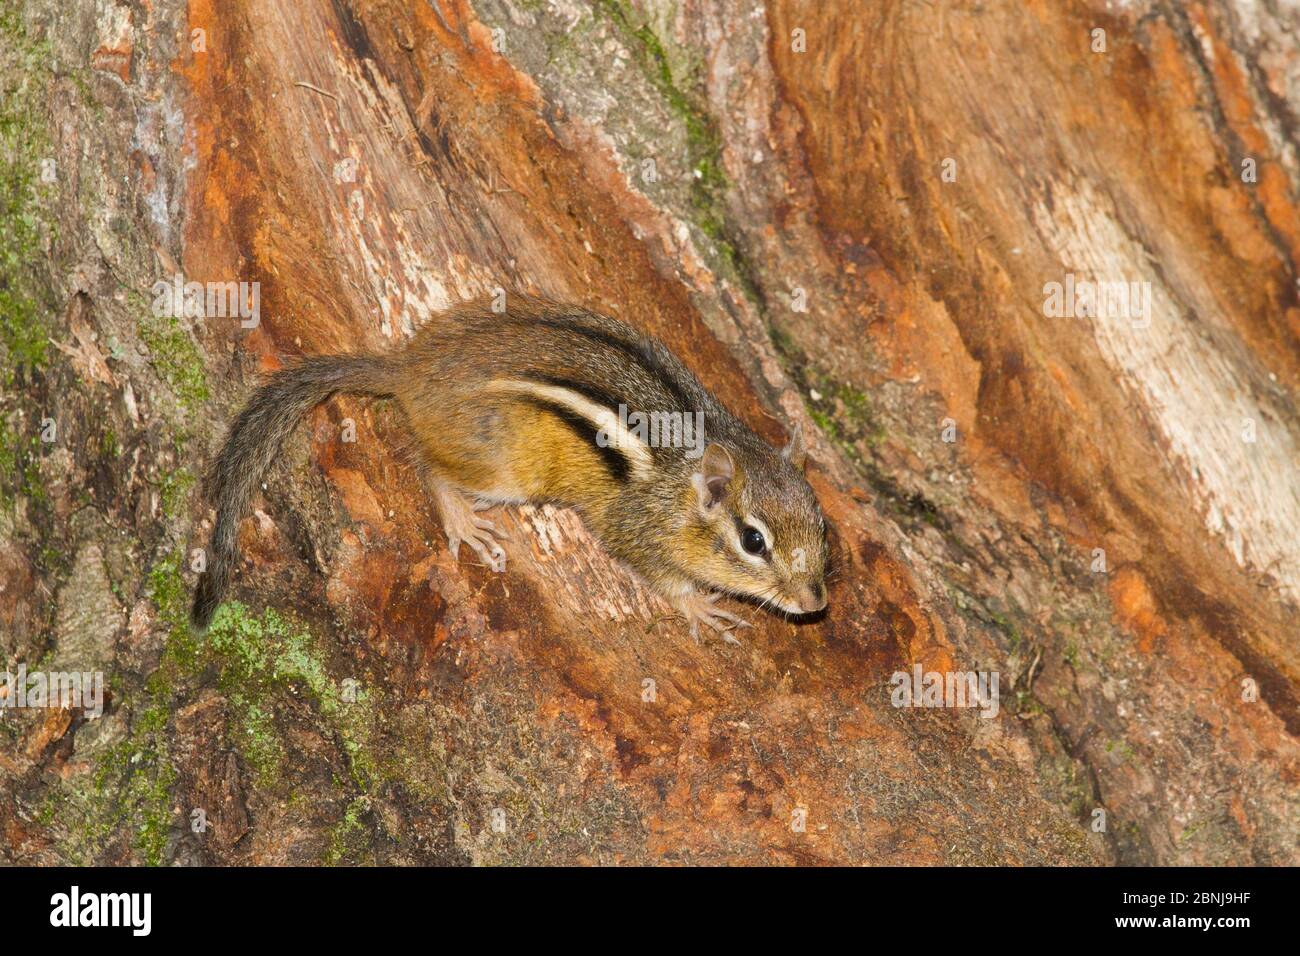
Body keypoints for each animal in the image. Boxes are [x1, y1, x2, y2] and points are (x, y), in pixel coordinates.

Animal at [191, 295, 829, 641]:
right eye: (753, 541)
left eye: (824, 527)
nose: (815, 603)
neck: (684, 487)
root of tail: (409, 373)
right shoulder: (635, 529)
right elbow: (661, 574)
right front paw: (700, 604)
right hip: (506, 470)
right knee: (434, 473)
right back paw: (463, 520)